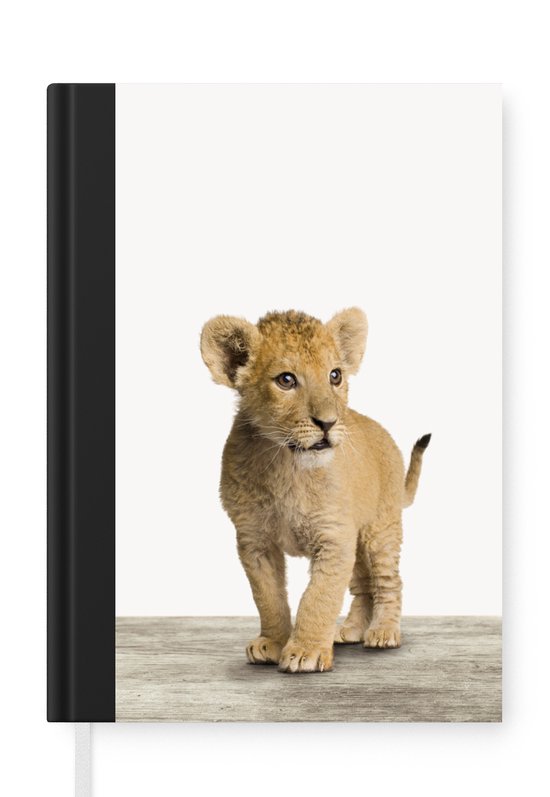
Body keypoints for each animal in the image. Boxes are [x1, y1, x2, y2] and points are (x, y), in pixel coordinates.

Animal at [200, 308, 430, 673]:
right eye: (286, 380)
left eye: (335, 375)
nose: (328, 423)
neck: (286, 463)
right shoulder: (254, 540)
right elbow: (268, 597)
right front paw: (273, 643)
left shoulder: (333, 537)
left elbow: (318, 597)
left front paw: (305, 651)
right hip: (357, 542)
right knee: (362, 586)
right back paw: (350, 630)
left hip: (380, 529)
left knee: (387, 581)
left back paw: (383, 632)